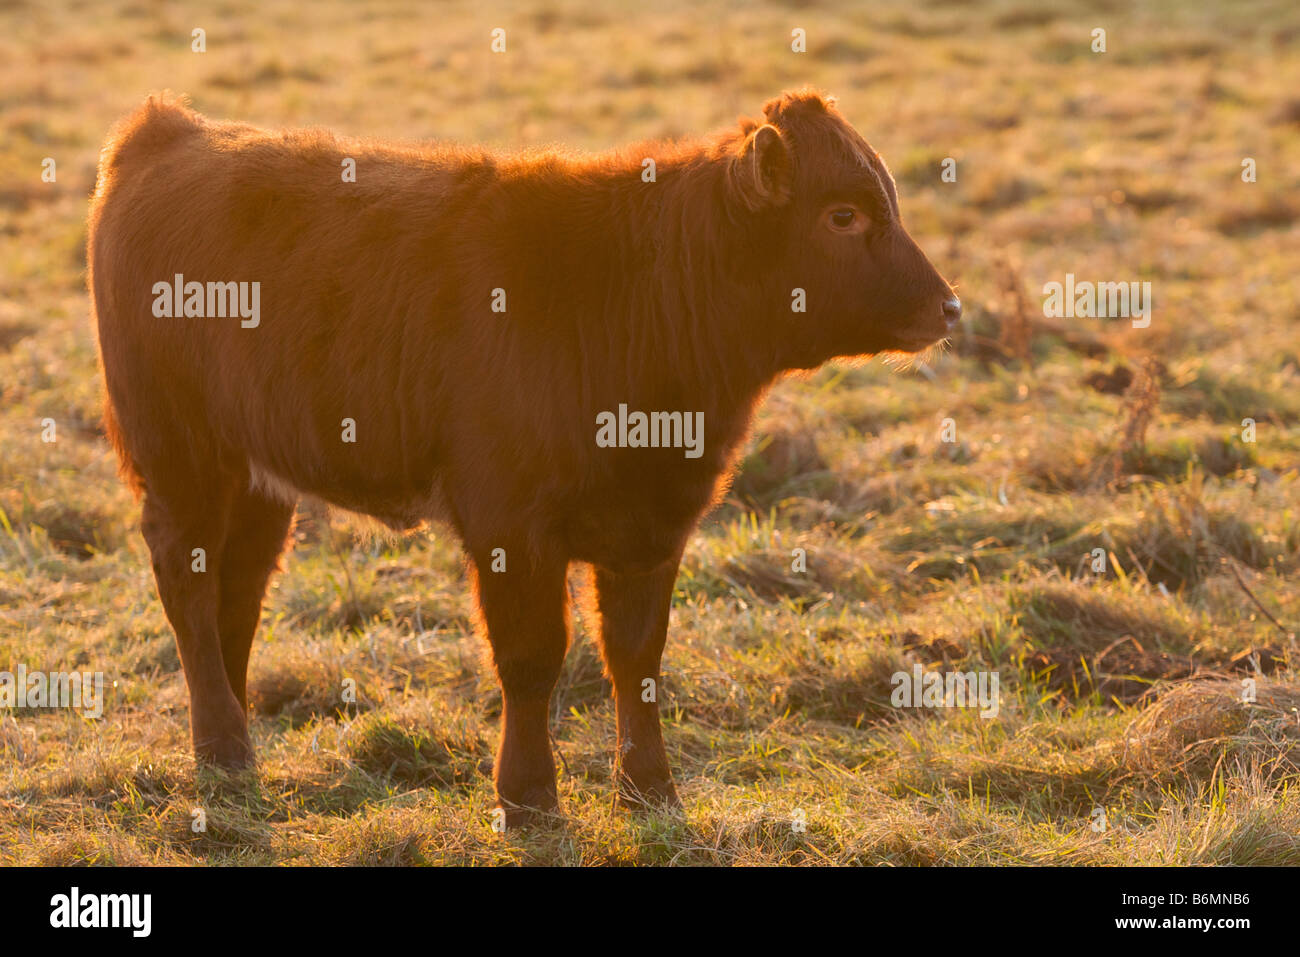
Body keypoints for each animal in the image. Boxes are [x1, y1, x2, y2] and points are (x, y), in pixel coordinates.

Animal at [87, 89, 961, 825]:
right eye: (842, 215)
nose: (948, 307)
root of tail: (171, 129)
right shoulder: (510, 524)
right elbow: (533, 656)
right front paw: (529, 794)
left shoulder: (654, 523)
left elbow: (637, 655)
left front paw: (651, 788)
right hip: (178, 453)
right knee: (187, 581)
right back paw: (223, 746)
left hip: (257, 473)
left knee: (235, 589)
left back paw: (228, 737)